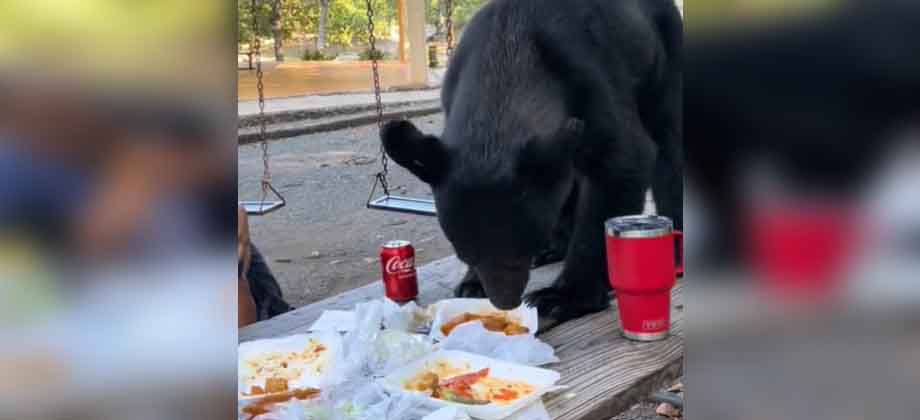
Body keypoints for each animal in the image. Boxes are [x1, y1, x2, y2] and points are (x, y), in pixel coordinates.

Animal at [381, 0, 683, 321]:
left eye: (523, 248)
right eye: (464, 253)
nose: (505, 302)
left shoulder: (592, 79)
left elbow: (622, 162)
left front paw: (566, 295)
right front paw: (472, 282)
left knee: (670, 150)